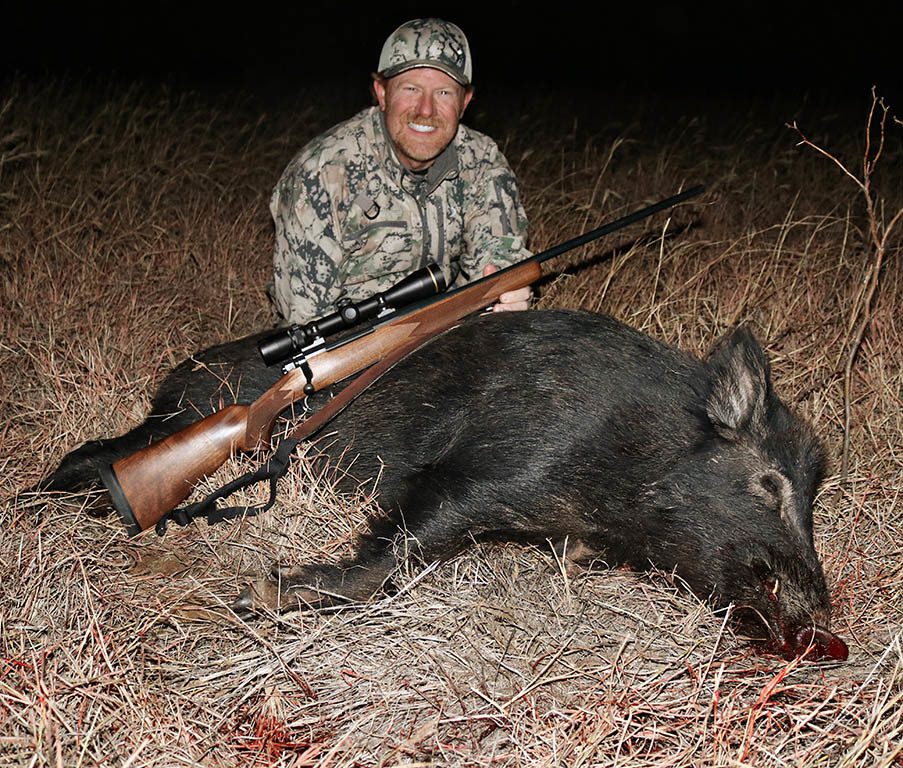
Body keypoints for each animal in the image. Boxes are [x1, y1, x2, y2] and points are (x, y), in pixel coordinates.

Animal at [36, 310, 849, 661]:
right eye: (769, 483)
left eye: (812, 493)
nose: (825, 623)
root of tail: (184, 371)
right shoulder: (483, 470)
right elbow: (394, 556)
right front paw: (255, 595)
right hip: (187, 416)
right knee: (110, 450)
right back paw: (54, 494)